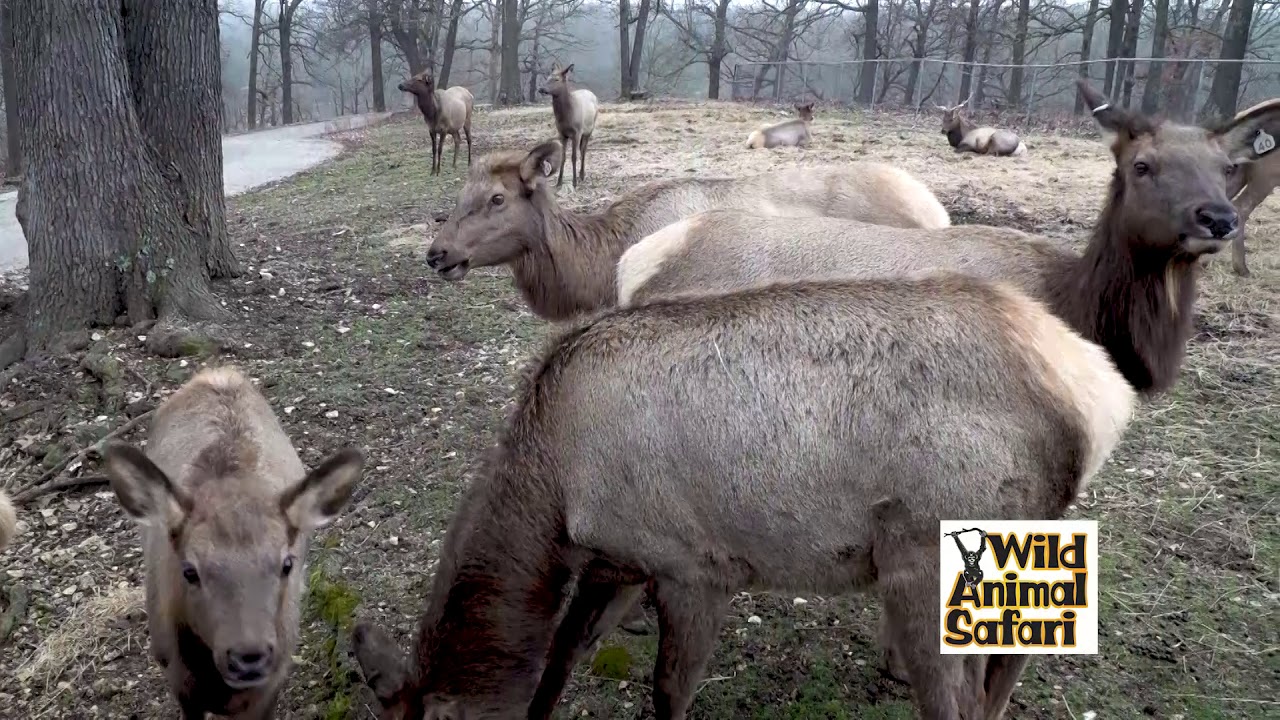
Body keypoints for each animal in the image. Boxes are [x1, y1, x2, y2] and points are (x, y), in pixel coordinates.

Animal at [101, 367, 363, 720]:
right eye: (189, 571)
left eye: (287, 564)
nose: (248, 657)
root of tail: (218, 372)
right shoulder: (175, 677)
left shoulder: (272, 683)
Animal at [348, 272, 1135, 720]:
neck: (555, 495)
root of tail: (1100, 400)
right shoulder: (620, 561)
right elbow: (564, 654)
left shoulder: (695, 565)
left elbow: (668, 691)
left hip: (927, 548)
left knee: (960, 703)